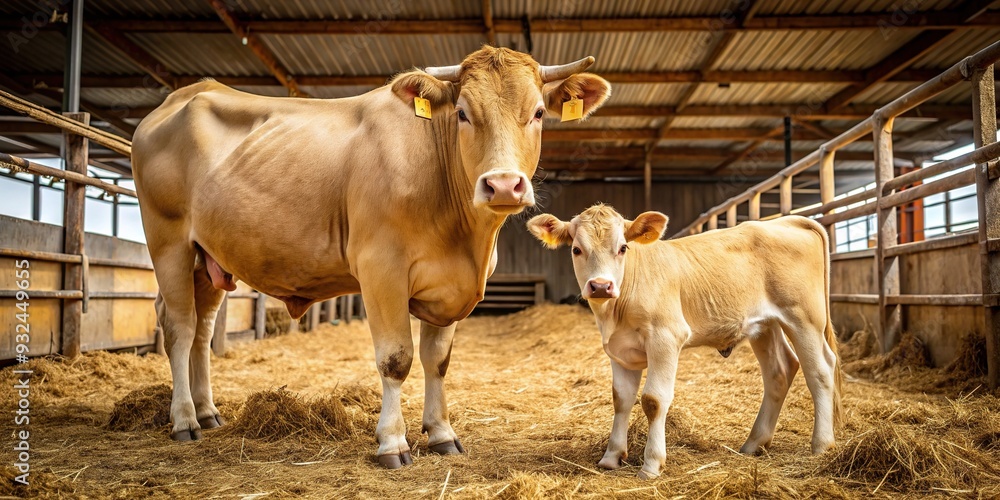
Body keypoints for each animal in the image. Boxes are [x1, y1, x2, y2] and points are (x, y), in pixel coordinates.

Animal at [132, 46, 611, 468]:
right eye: (462, 113)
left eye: (538, 113)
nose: (504, 185)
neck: (467, 241)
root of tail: (185, 94)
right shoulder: (381, 270)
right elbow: (396, 359)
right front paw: (392, 443)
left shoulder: (448, 288)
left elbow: (437, 360)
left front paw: (442, 434)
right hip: (169, 241)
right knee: (179, 327)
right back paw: (184, 420)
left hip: (208, 257)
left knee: (203, 329)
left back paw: (209, 412)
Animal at [527, 205, 842, 479]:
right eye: (576, 249)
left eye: (623, 248)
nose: (601, 286)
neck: (615, 313)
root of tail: (786, 220)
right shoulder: (619, 349)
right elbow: (621, 399)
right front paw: (611, 457)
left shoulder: (666, 337)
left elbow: (653, 400)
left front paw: (652, 464)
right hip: (765, 325)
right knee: (780, 371)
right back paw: (754, 443)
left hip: (804, 317)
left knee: (821, 370)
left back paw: (822, 444)